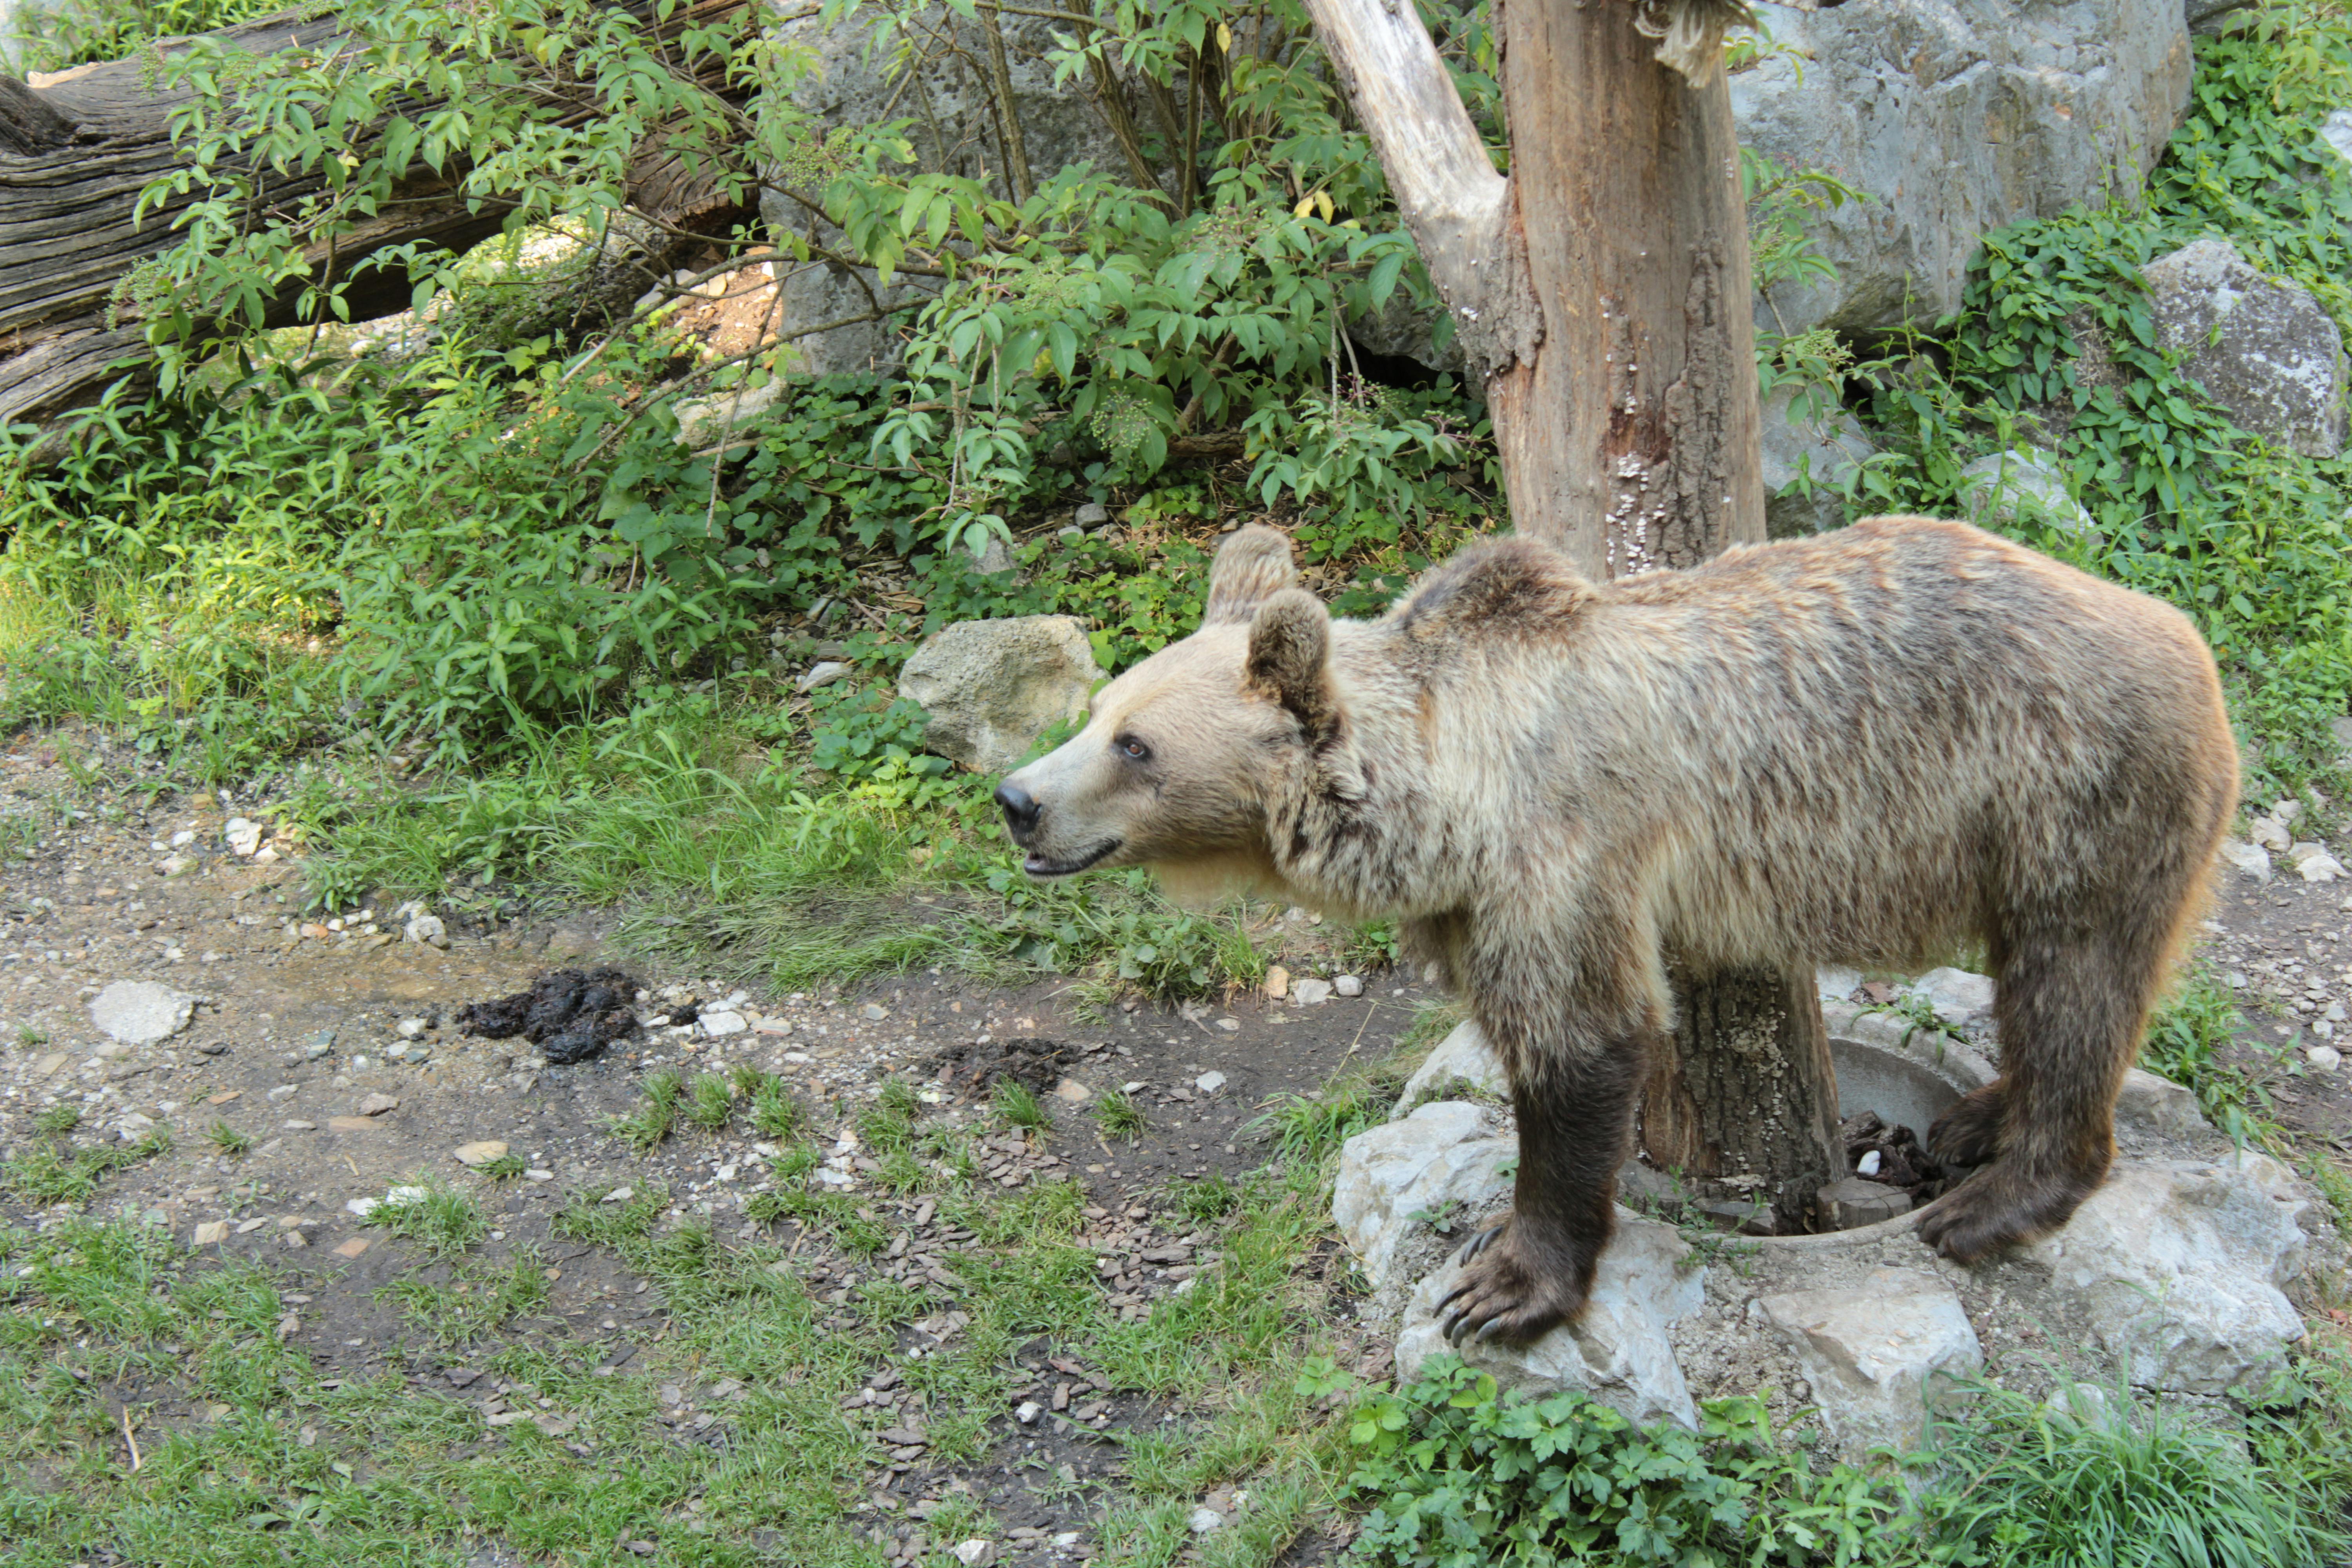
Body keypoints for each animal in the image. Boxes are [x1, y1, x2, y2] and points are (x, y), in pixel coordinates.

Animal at [994, 516, 2238, 1345]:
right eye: (1099, 707)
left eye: (1137, 746)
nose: (1017, 799)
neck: (1445, 793)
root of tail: (2187, 635)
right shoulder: (1476, 894)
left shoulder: (1566, 852)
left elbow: (1582, 1041)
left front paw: (1502, 1284)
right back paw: (1975, 1119)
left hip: (2062, 794)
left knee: (2072, 980)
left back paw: (1991, 1196)